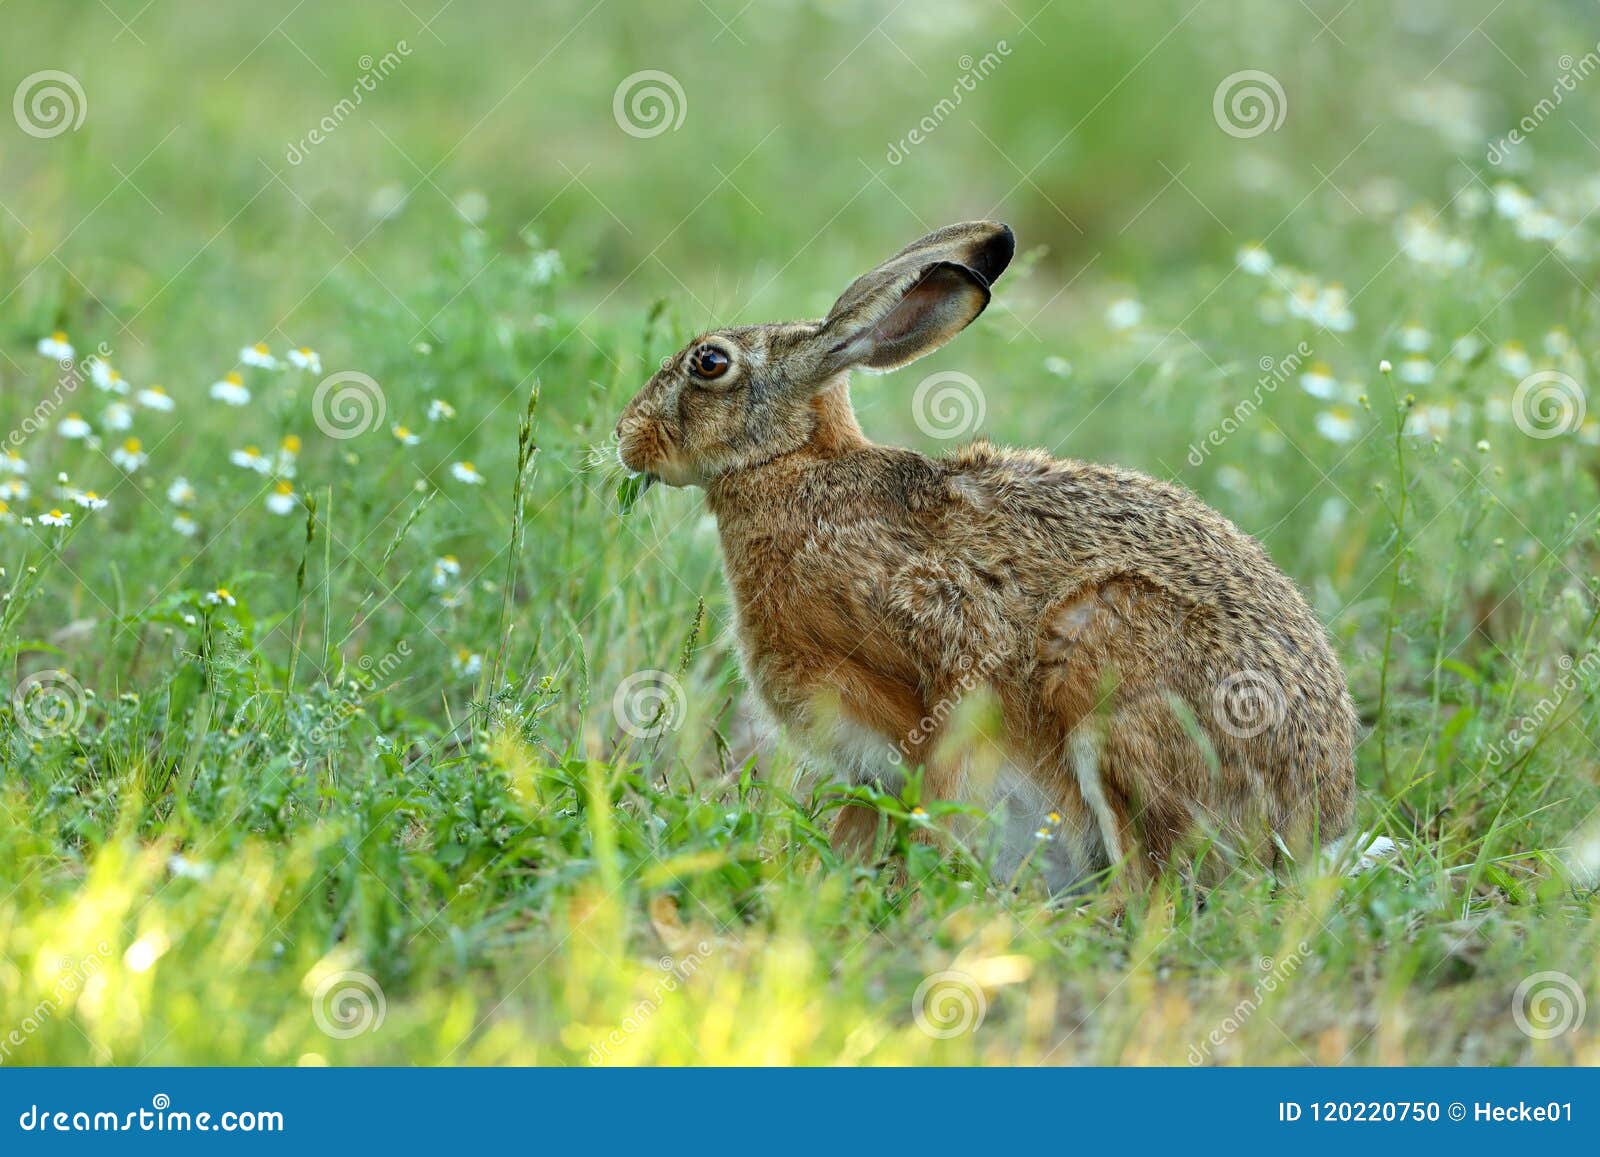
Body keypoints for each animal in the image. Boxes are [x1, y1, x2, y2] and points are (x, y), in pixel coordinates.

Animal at [615, 220, 1356, 891]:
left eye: (710, 363)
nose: (626, 438)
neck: (793, 464)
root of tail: (1310, 827)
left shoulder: (926, 693)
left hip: (1110, 662)